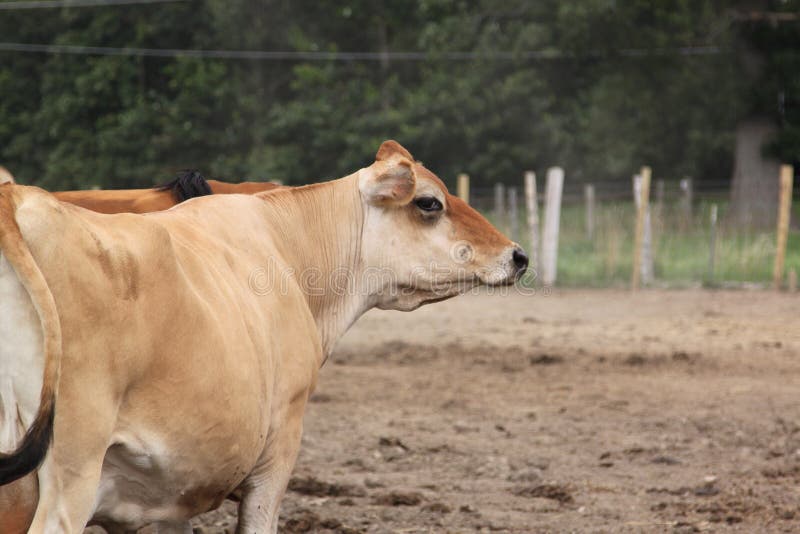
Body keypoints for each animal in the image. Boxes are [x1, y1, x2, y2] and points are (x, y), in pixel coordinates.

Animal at [0, 140, 528, 533]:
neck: (285, 244)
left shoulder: (166, 496)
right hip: (70, 478)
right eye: (429, 202)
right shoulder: (277, 453)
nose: (518, 255)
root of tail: (18, 202)